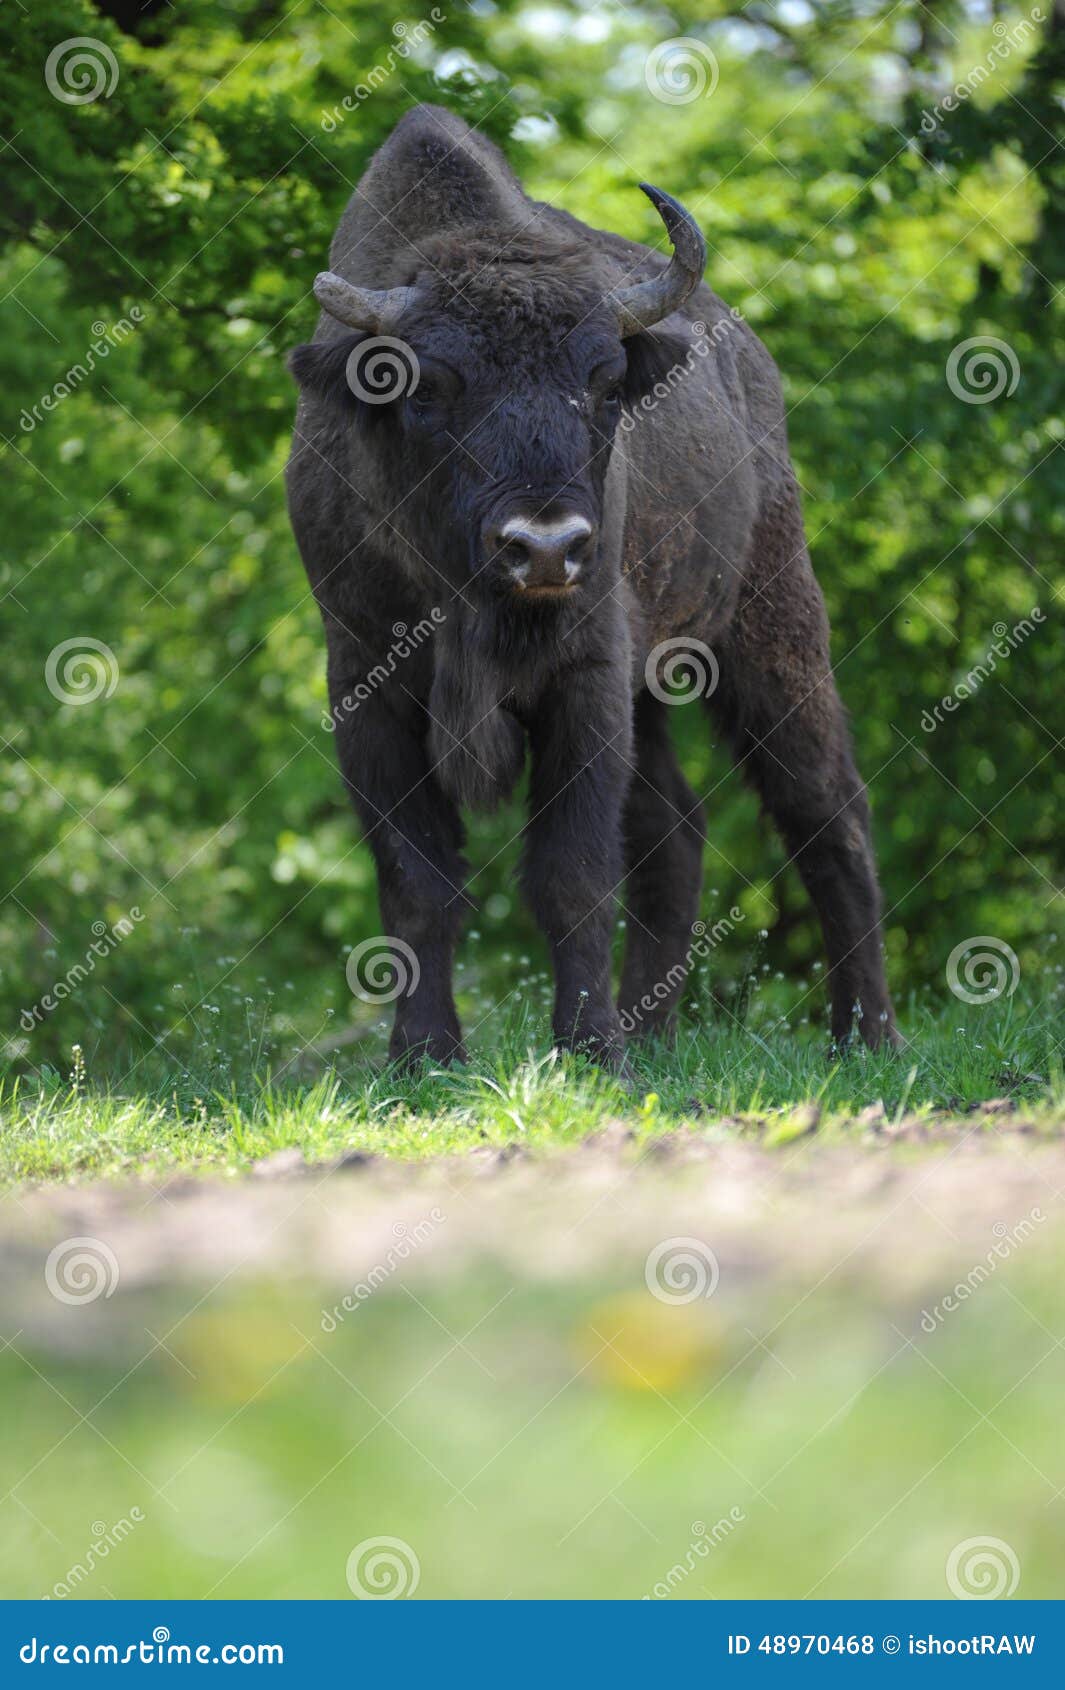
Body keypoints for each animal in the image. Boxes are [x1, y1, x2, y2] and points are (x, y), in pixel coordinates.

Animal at [286, 105, 897, 1067]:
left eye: (604, 381)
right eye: (427, 388)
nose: (545, 549)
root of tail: (746, 360)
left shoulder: (586, 677)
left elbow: (569, 874)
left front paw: (585, 1046)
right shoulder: (366, 687)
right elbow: (418, 882)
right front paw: (423, 1054)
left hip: (769, 630)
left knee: (826, 812)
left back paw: (866, 1037)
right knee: (676, 830)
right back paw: (655, 1035)